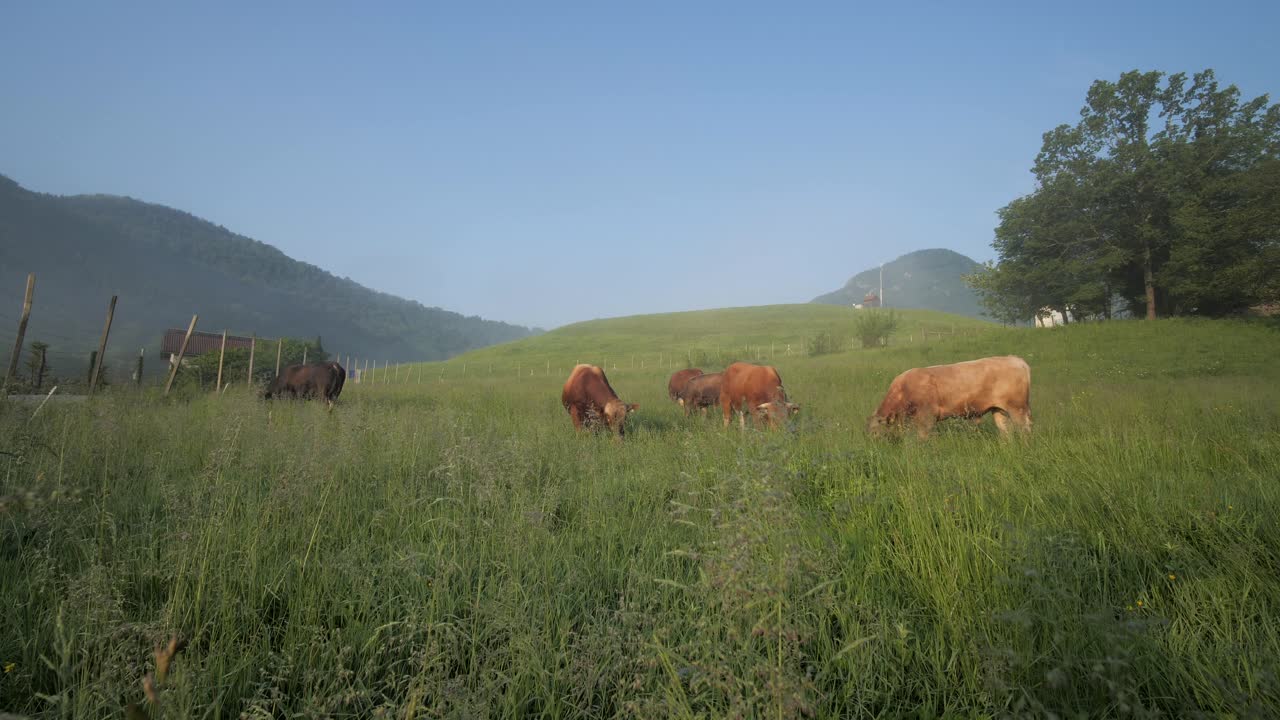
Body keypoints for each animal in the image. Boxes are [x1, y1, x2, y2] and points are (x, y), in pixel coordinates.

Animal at [867, 355, 1032, 439]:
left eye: (875, 432)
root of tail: (1016, 359)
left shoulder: (926, 417)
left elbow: (923, 437)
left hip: (1017, 408)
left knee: (1025, 429)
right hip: (999, 409)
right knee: (1006, 430)